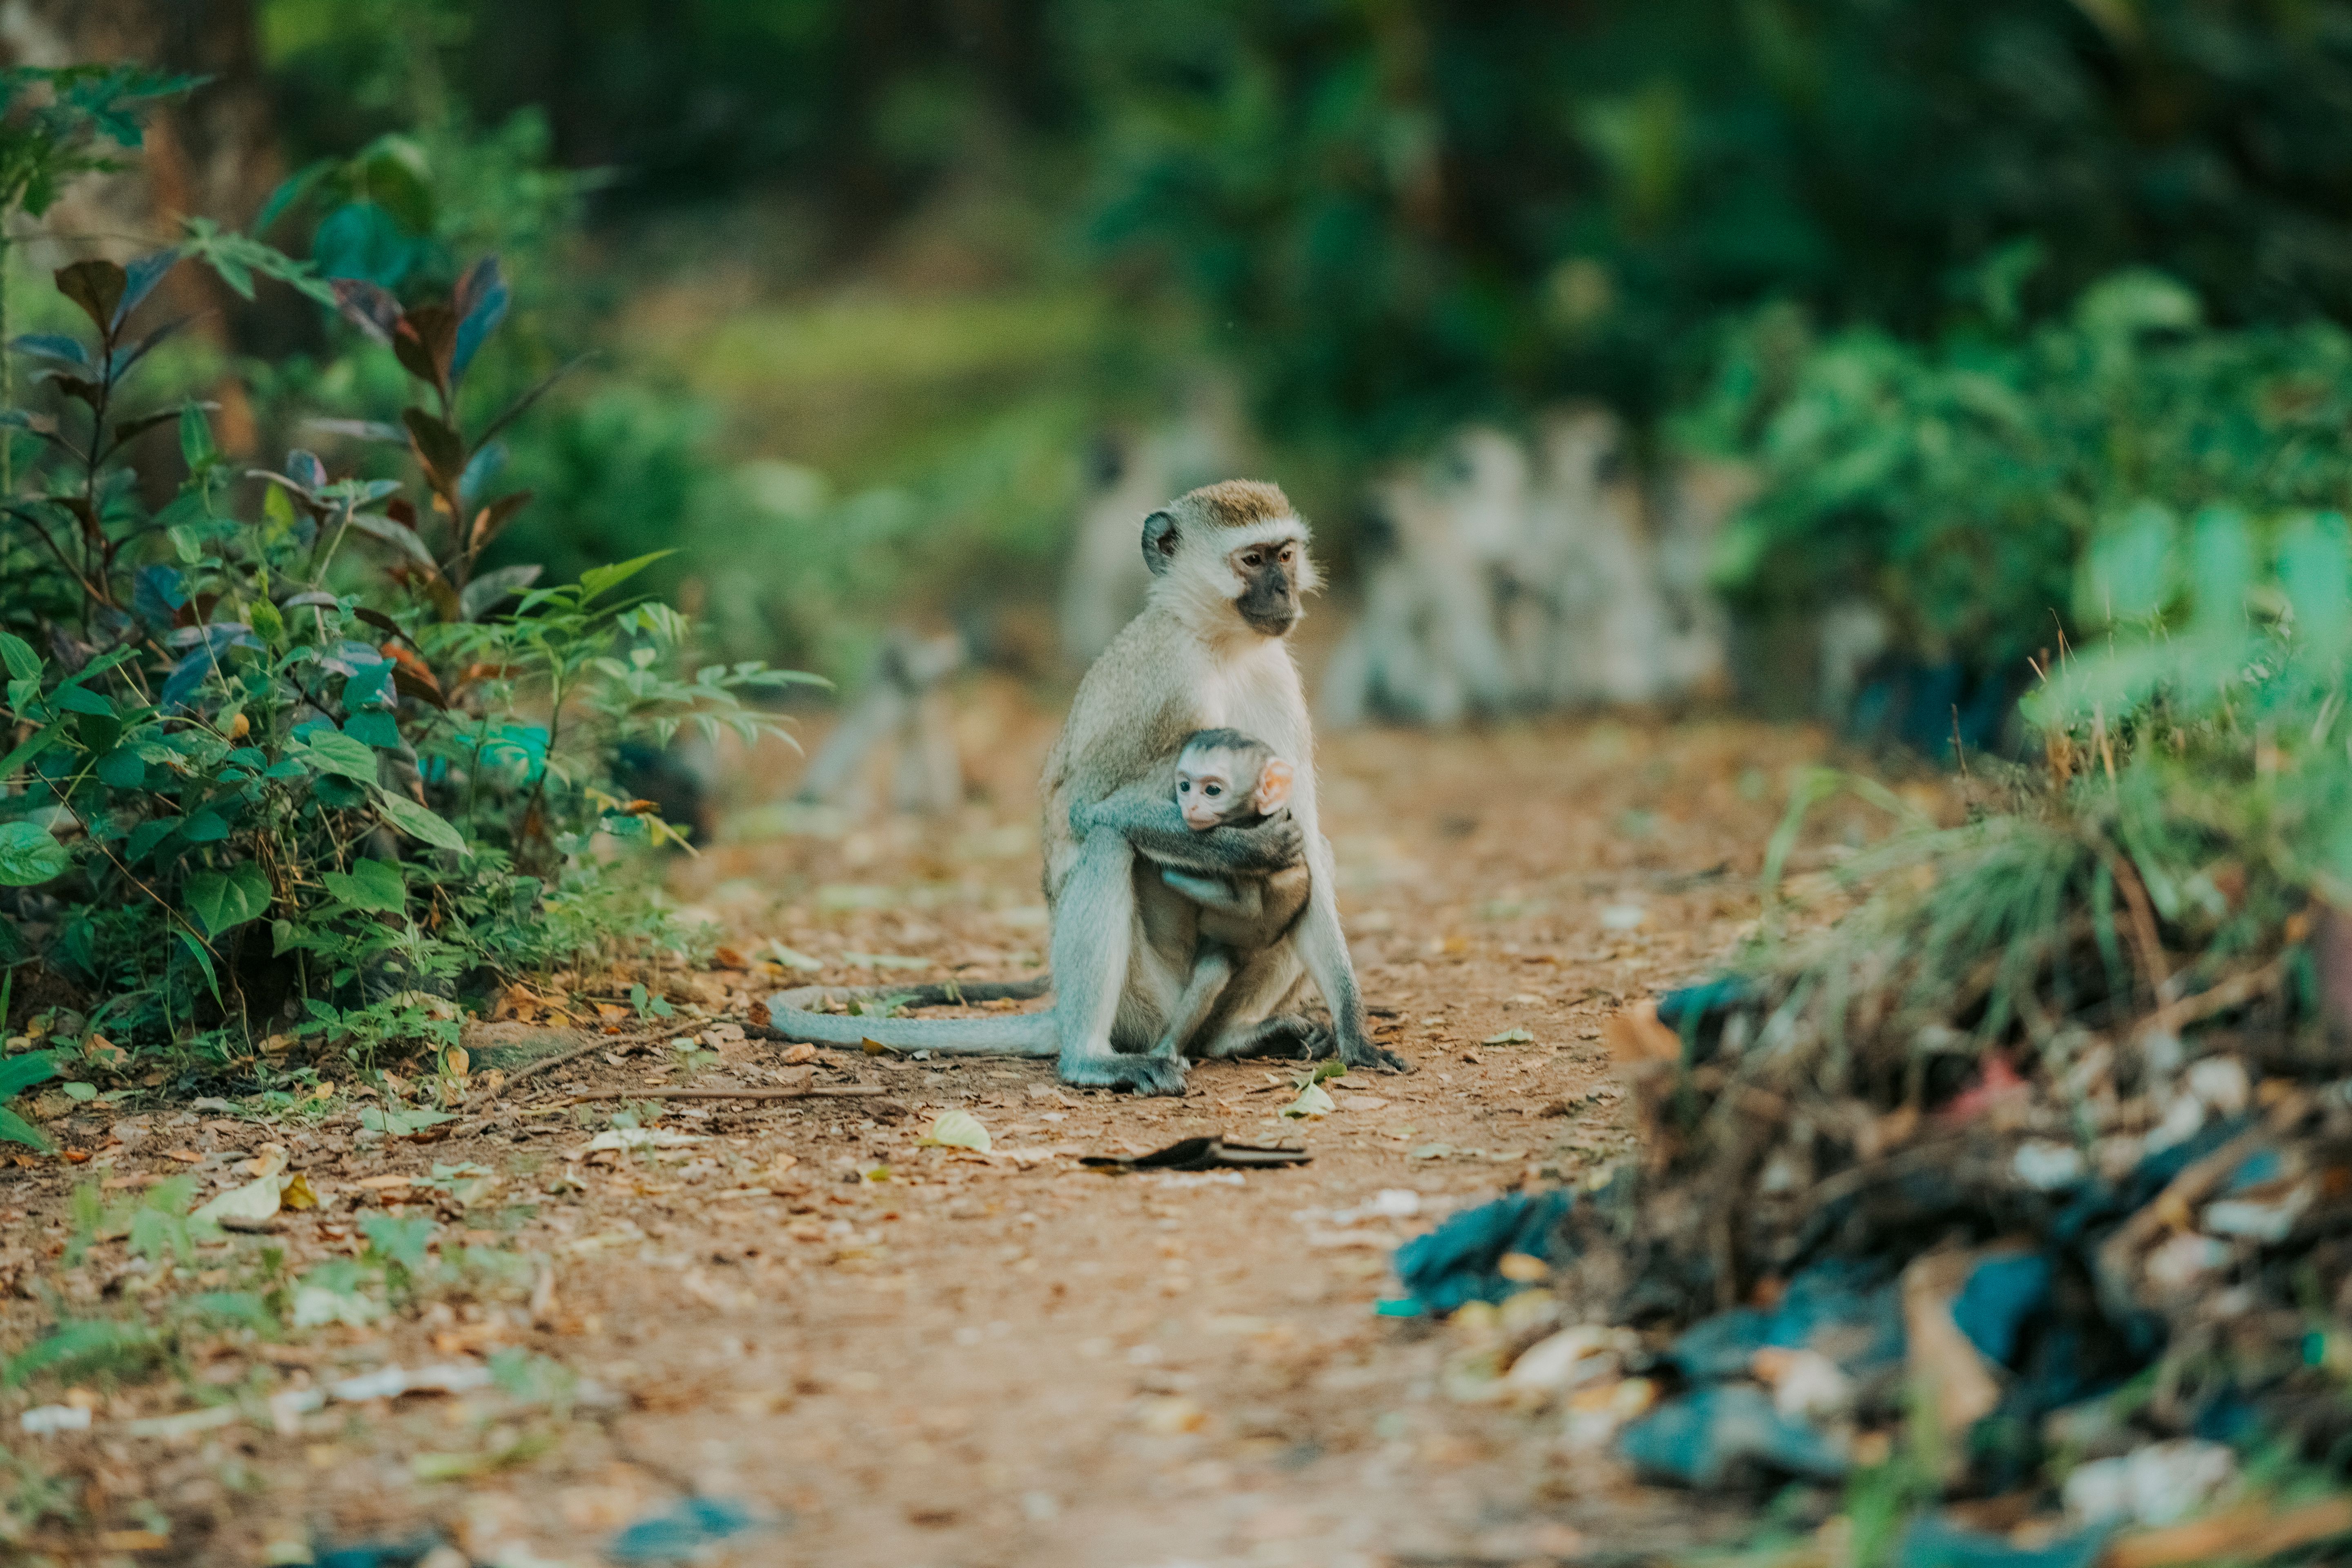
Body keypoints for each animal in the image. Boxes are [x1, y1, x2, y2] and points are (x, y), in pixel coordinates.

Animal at [767, 480, 1408, 1094]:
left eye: (1286, 555)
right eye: (1252, 560)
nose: (1284, 594)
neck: (1217, 645)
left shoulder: (1275, 680)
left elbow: (1305, 834)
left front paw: (1355, 1032)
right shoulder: (1162, 684)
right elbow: (1086, 809)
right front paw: (1242, 847)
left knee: (1307, 865)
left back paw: (1234, 1036)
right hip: (1144, 1005)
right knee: (1109, 842)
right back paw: (1090, 1060)